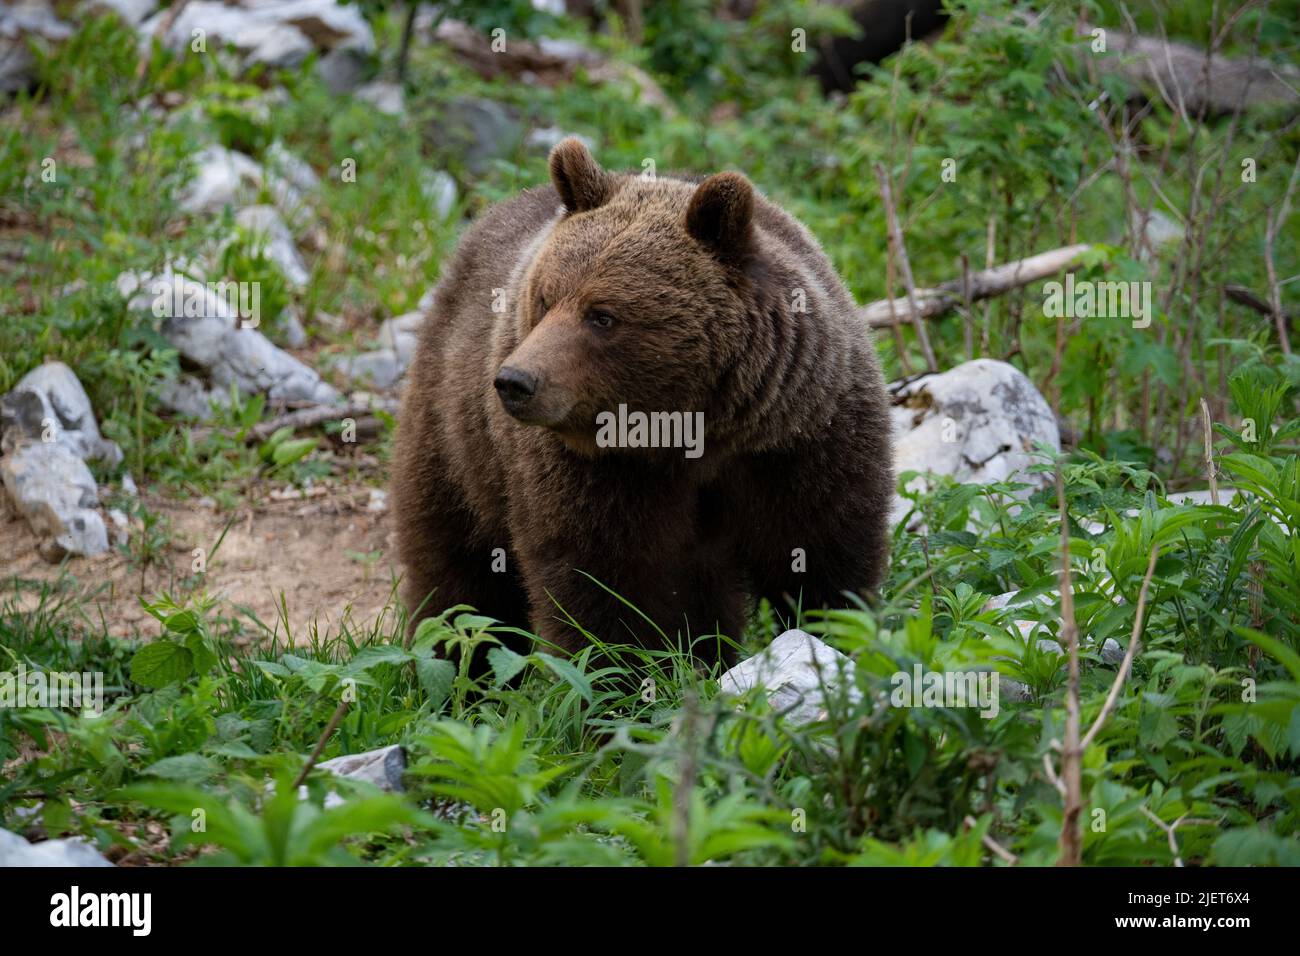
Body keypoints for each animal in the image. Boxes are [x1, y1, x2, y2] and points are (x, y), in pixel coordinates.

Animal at [390, 138, 893, 668]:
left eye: (602, 315)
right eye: (545, 299)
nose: (514, 381)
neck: (691, 432)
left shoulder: (800, 441)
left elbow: (822, 555)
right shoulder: (596, 473)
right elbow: (601, 583)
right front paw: (620, 675)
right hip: (457, 432)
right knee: (456, 570)